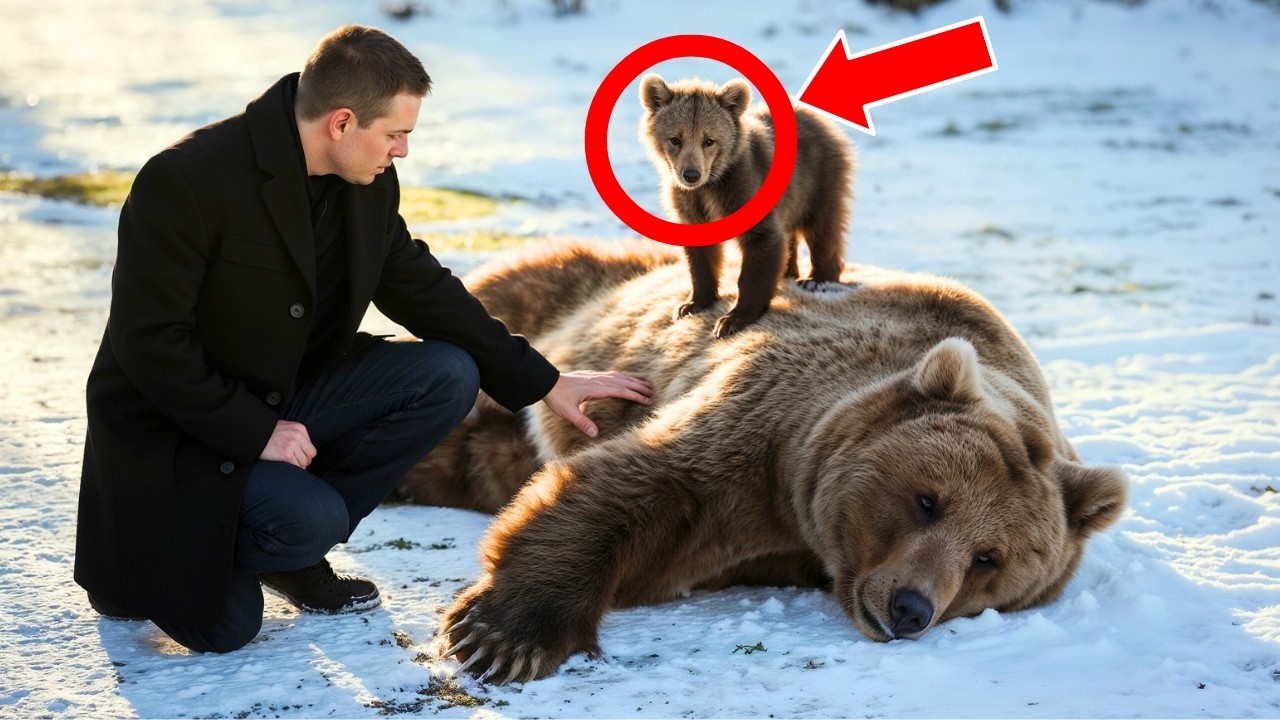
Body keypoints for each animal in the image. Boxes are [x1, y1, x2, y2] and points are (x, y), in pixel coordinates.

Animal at [393, 239, 1127, 685]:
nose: (911, 607)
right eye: (927, 500)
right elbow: (640, 481)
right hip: (560, 298)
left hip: (496, 449)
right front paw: (503, 638)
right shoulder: (766, 419)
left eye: (988, 558)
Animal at [638, 74, 855, 338]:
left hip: (818, 179)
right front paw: (691, 304)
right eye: (675, 139)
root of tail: (817, 118)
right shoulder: (690, 203)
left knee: (823, 227)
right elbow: (700, 257)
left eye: (709, 140)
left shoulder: (743, 188)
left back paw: (817, 279)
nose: (691, 174)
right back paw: (788, 272)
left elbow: (761, 246)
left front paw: (732, 319)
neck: (712, 184)